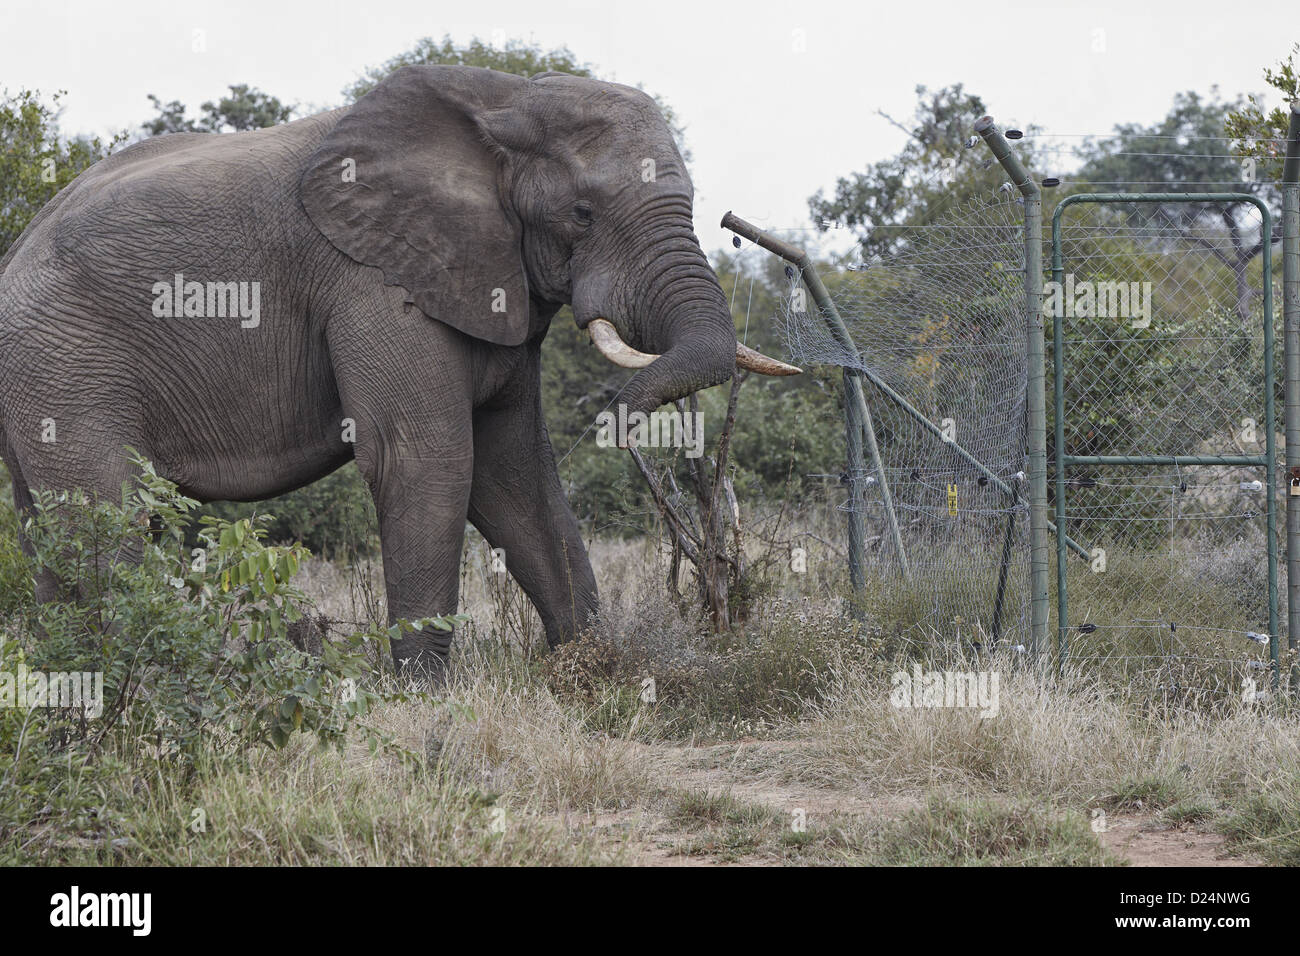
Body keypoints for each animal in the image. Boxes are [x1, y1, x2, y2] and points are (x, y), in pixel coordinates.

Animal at [0, 65, 796, 677]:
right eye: (581, 213)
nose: (622, 423)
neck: (502, 101)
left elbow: (515, 472)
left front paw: (590, 671)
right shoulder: (371, 282)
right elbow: (424, 456)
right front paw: (424, 699)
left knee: (48, 537)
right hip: (65, 359)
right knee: (107, 516)